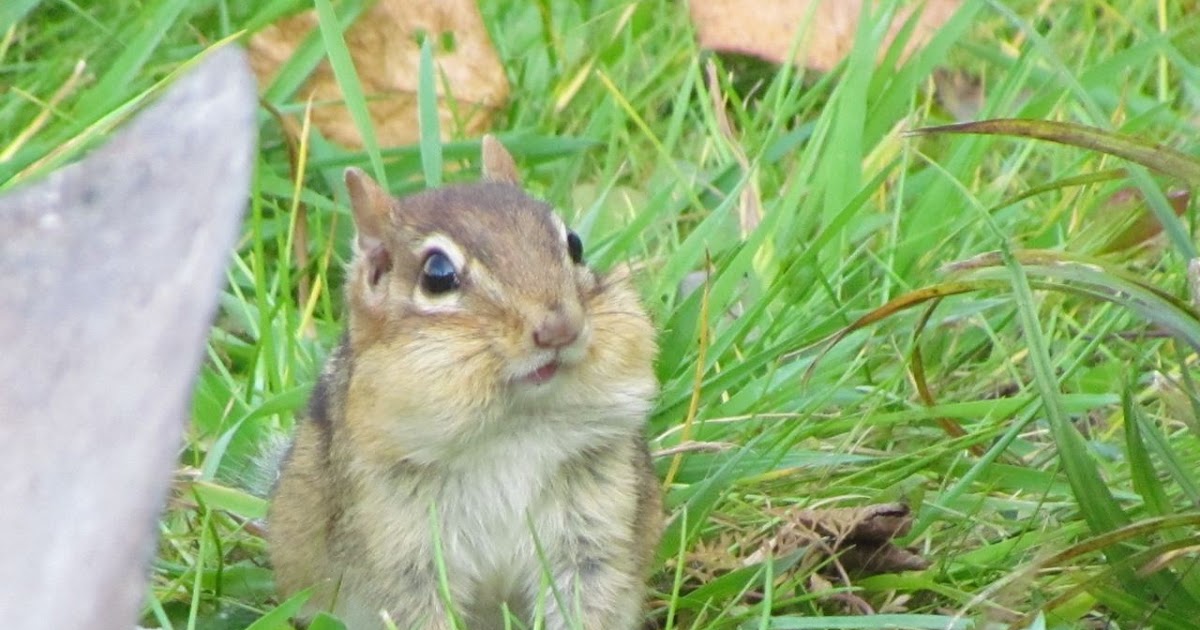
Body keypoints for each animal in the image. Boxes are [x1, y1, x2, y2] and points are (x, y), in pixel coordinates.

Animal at [267, 136, 662, 630]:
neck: (514, 425)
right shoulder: (403, 553)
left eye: (574, 244)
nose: (560, 329)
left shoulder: (592, 534)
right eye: (437, 275)